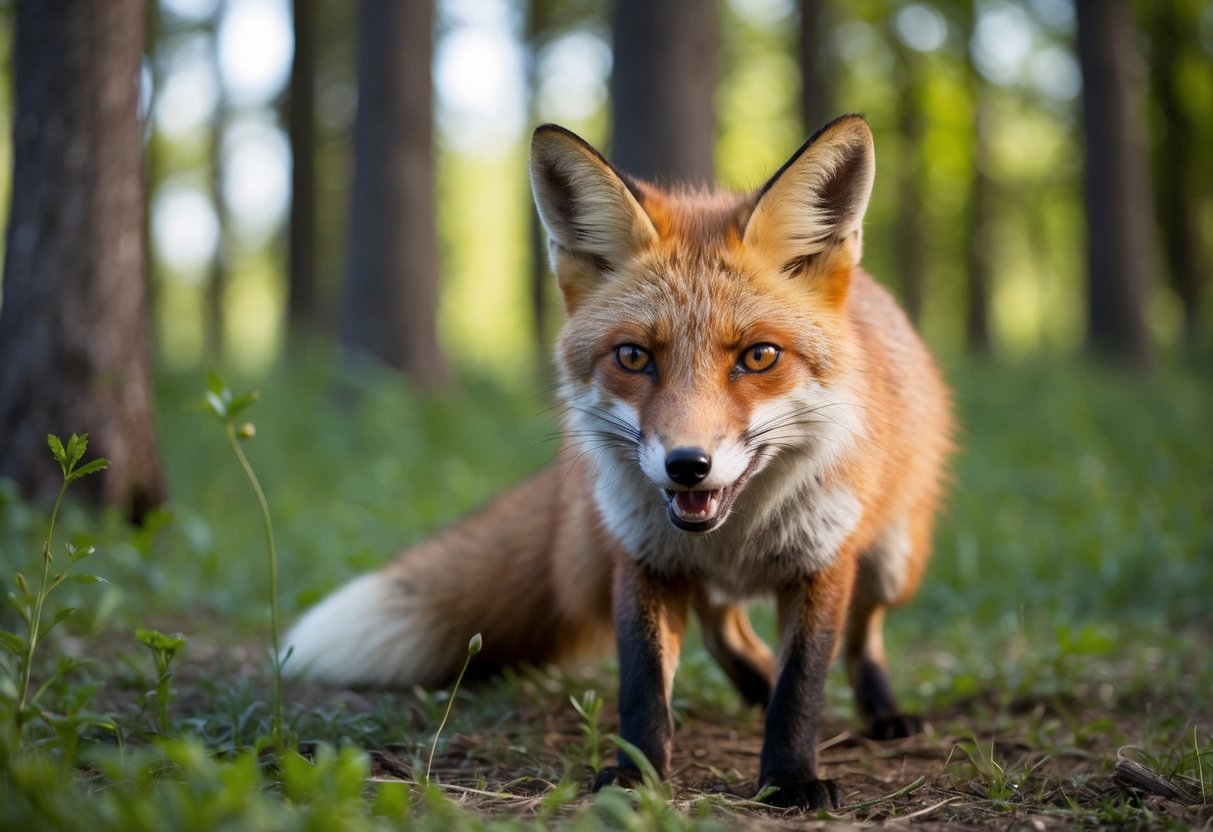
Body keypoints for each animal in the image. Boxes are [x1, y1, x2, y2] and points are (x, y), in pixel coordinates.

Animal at [286, 115, 953, 810]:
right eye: (634, 357)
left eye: (760, 356)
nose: (688, 465)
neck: (736, 533)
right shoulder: (641, 557)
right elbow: (643, 685)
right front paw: (636, 776)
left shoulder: (822, 561)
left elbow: (803, 685)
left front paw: (791, 778)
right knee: (722, 622)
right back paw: (755, 682)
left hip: (893, 560)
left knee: (863, 632)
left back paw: (883, 711)